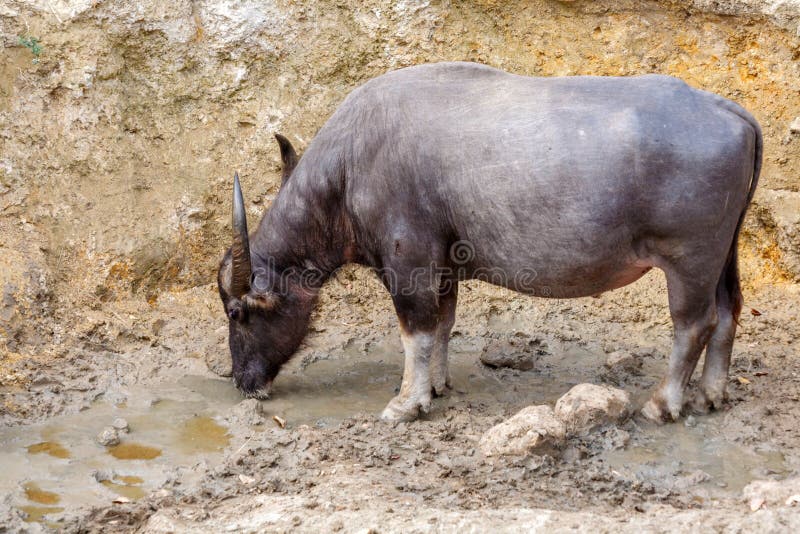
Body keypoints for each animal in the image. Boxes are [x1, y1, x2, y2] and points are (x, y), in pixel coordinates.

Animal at [217, 62, 761, 423]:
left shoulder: (409, 264)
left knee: (694, 324)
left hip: (689, 259)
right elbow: (442, 324)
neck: (351, 165)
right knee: (729, 312)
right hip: (724, 255)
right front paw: (436, 385)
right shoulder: (443, 268)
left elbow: (416, 330)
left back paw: (663, 403)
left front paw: (406, 402)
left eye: (237, 313)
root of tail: (726, 110)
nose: (242, 381)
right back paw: (711, 393)